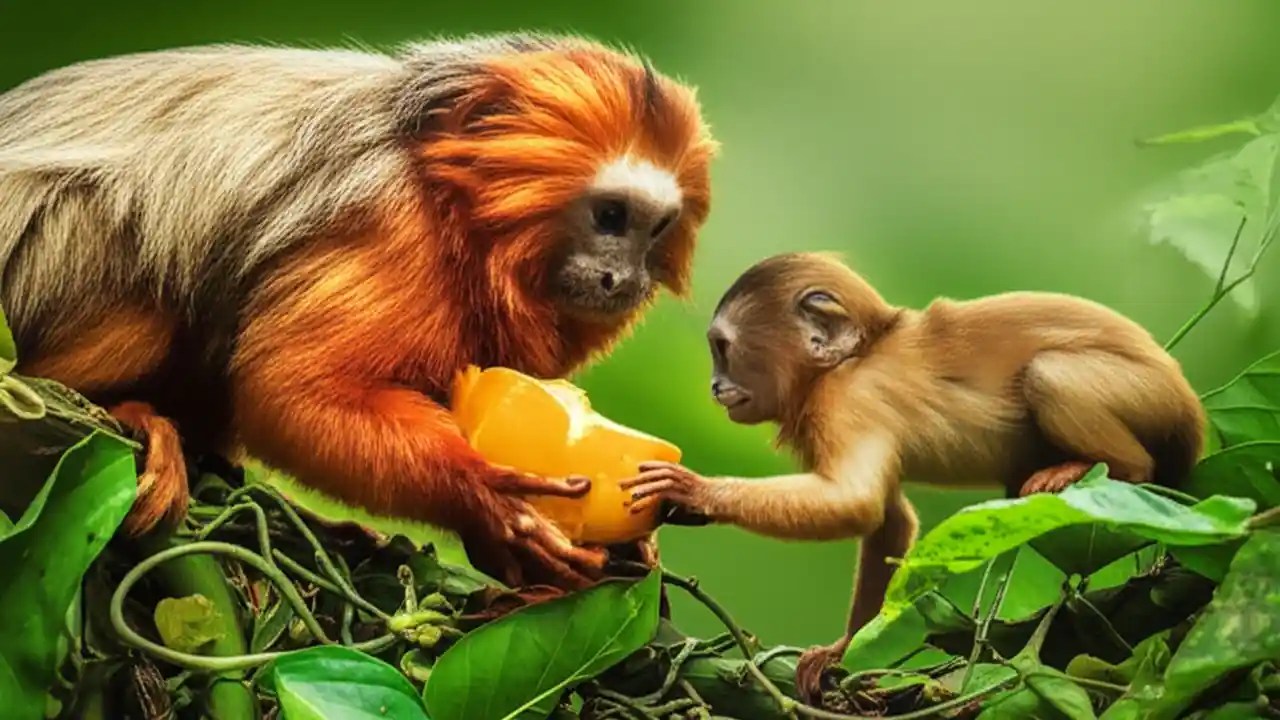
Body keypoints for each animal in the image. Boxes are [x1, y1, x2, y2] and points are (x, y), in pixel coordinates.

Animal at [0, 33, 717, 590]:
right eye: (610, 216)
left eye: (655, 229)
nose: (623, 279)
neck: (451, 207)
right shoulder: (384, 226)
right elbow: (292, 390)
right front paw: (486, 497)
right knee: (135, 236)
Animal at [624, 251, 1204, 701]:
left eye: (723, 350)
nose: (715, 387)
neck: (849, 359)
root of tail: (1189, 407)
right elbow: (888, 519)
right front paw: (842, 655)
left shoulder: (848, 399)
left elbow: (853, 502)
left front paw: (693, 491)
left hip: (1147, 397)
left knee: (1052, 377)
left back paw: (1105, 469)